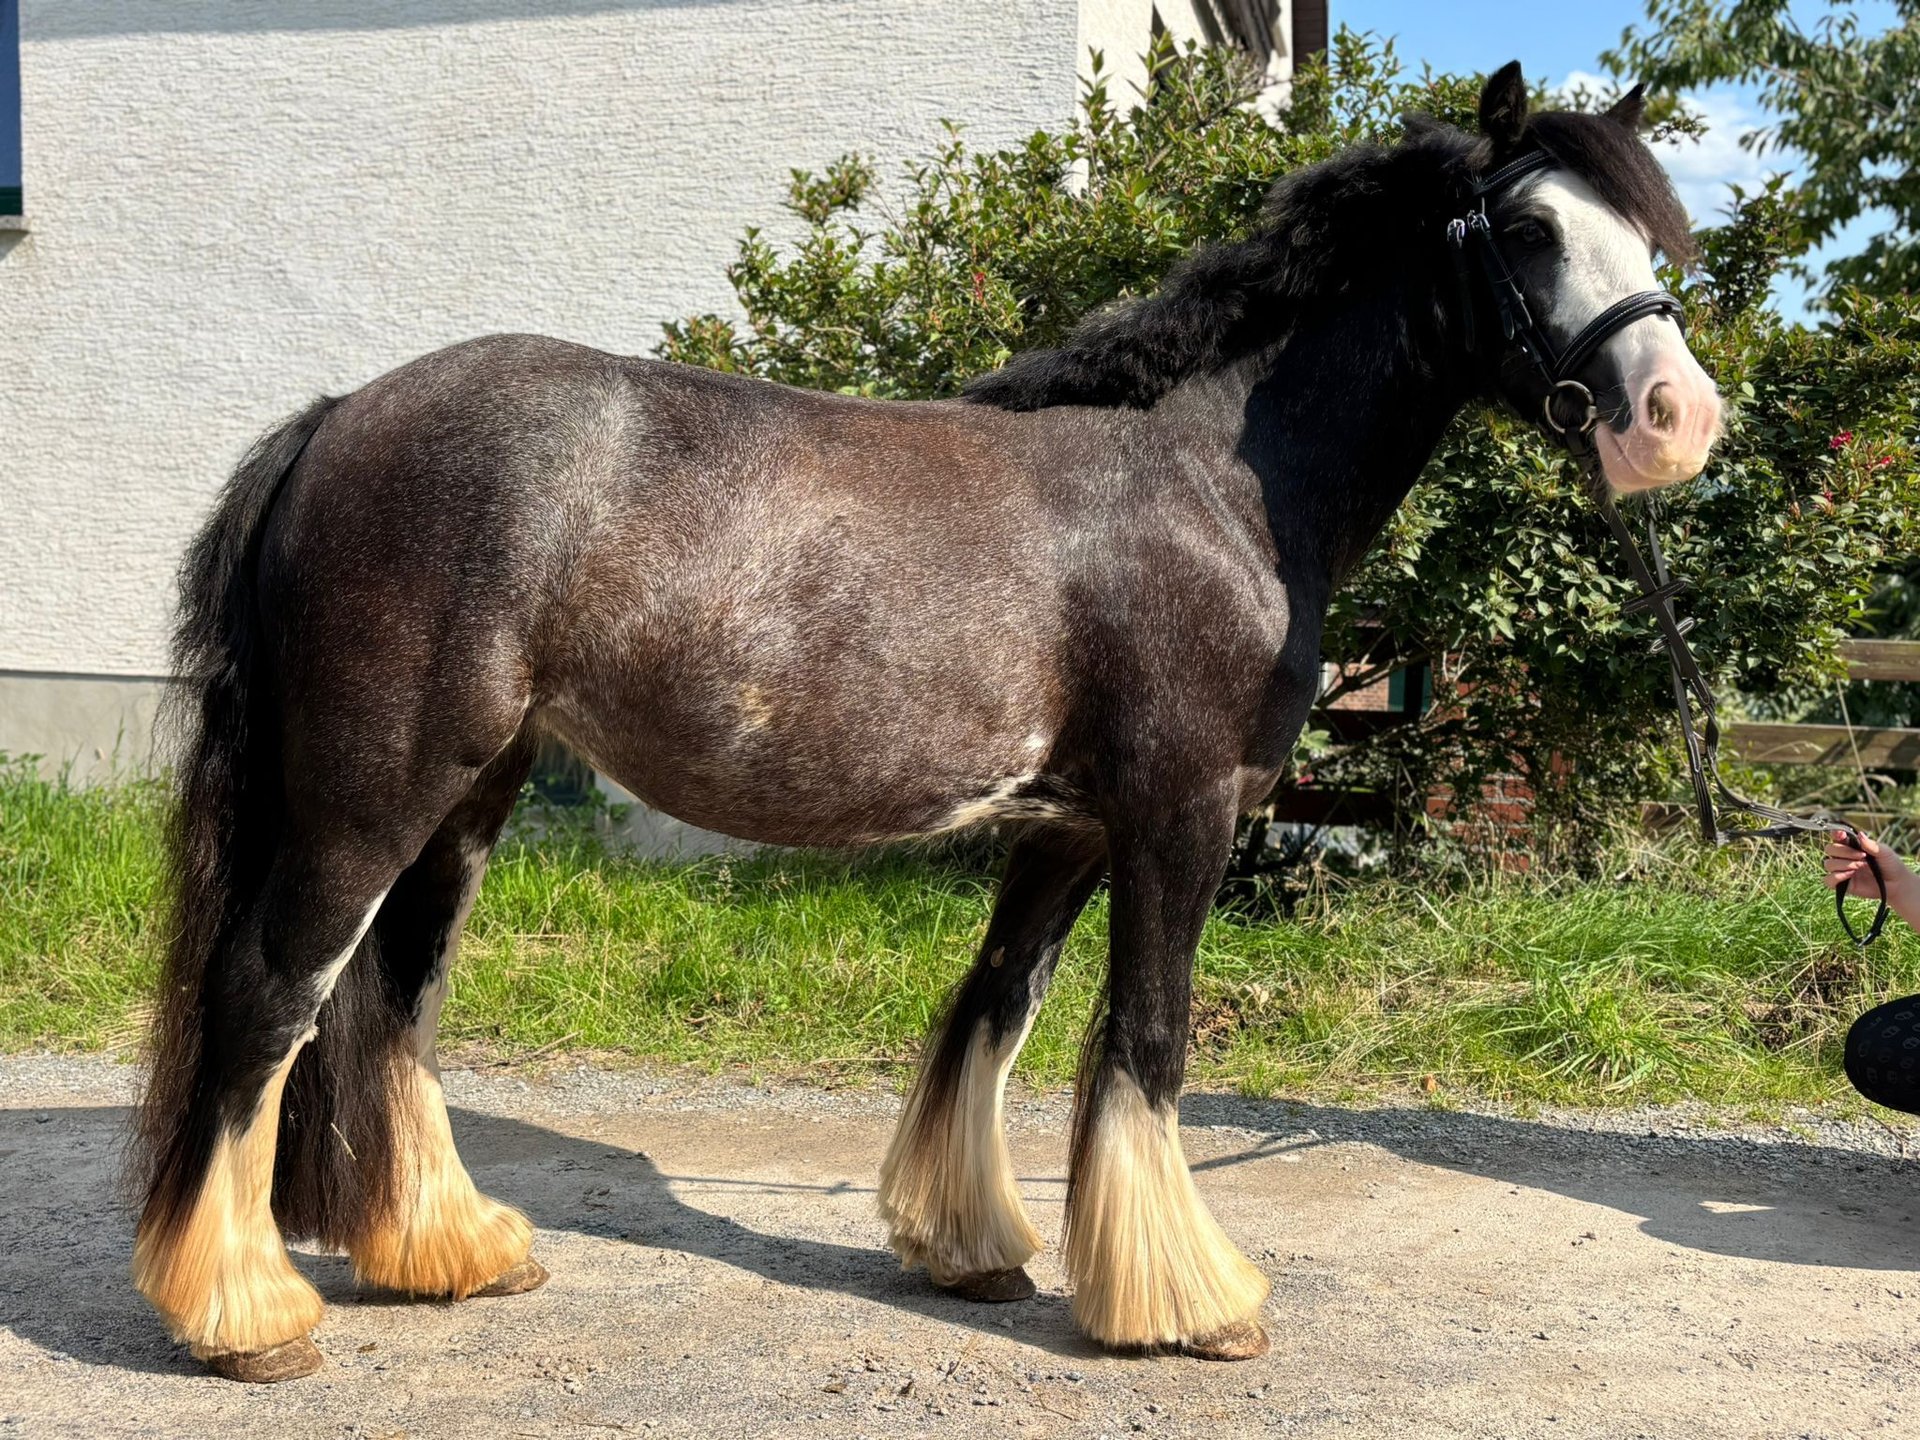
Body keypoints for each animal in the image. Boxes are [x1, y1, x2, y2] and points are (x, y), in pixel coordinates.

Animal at [129, 62, 1720, 1382]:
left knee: (394, 999)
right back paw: (249, 1317)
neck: (1207, 477)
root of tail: (337, 417)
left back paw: (450, 1253)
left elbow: (996, 1008)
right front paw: (1192, 1304)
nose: (1677, 418)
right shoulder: (1181, 812)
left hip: (475, 793)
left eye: (1652, 244)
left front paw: (975, 1252)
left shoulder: (1069, 827)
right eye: (1529, 230)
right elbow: (1148, 1039)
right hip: (378, 787)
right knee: (271, 995)